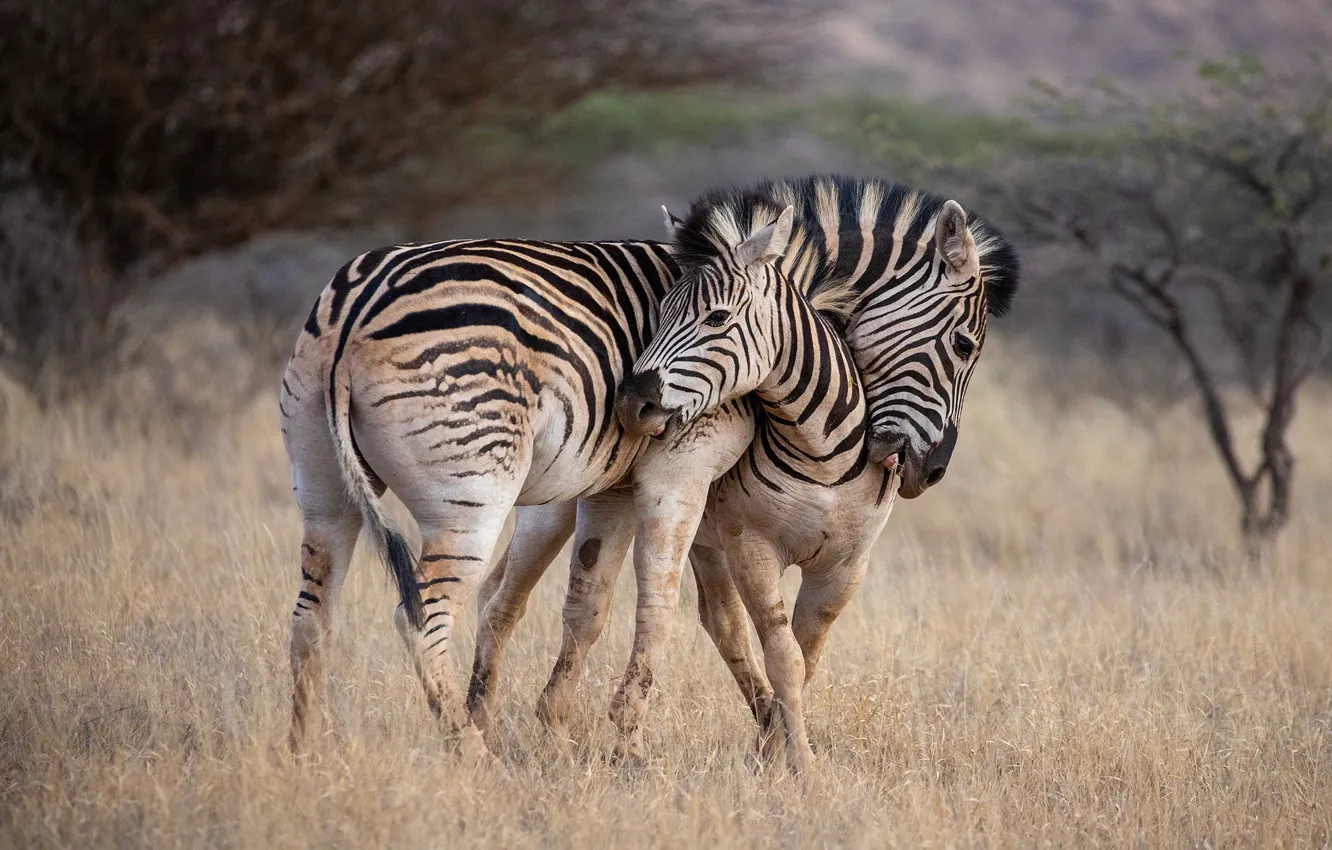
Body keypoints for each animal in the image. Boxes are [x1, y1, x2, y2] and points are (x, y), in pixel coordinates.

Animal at [467, 176, 1019, 761]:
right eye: (963, 344)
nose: (931, 470)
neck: (825, 451)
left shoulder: (847, 564)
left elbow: (801, 656)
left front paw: (779, 747)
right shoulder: (750, 543)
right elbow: (784, 654)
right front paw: (793, 756)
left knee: (713, 620)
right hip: (562, 505)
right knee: (505, 599)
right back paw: (485, 726)